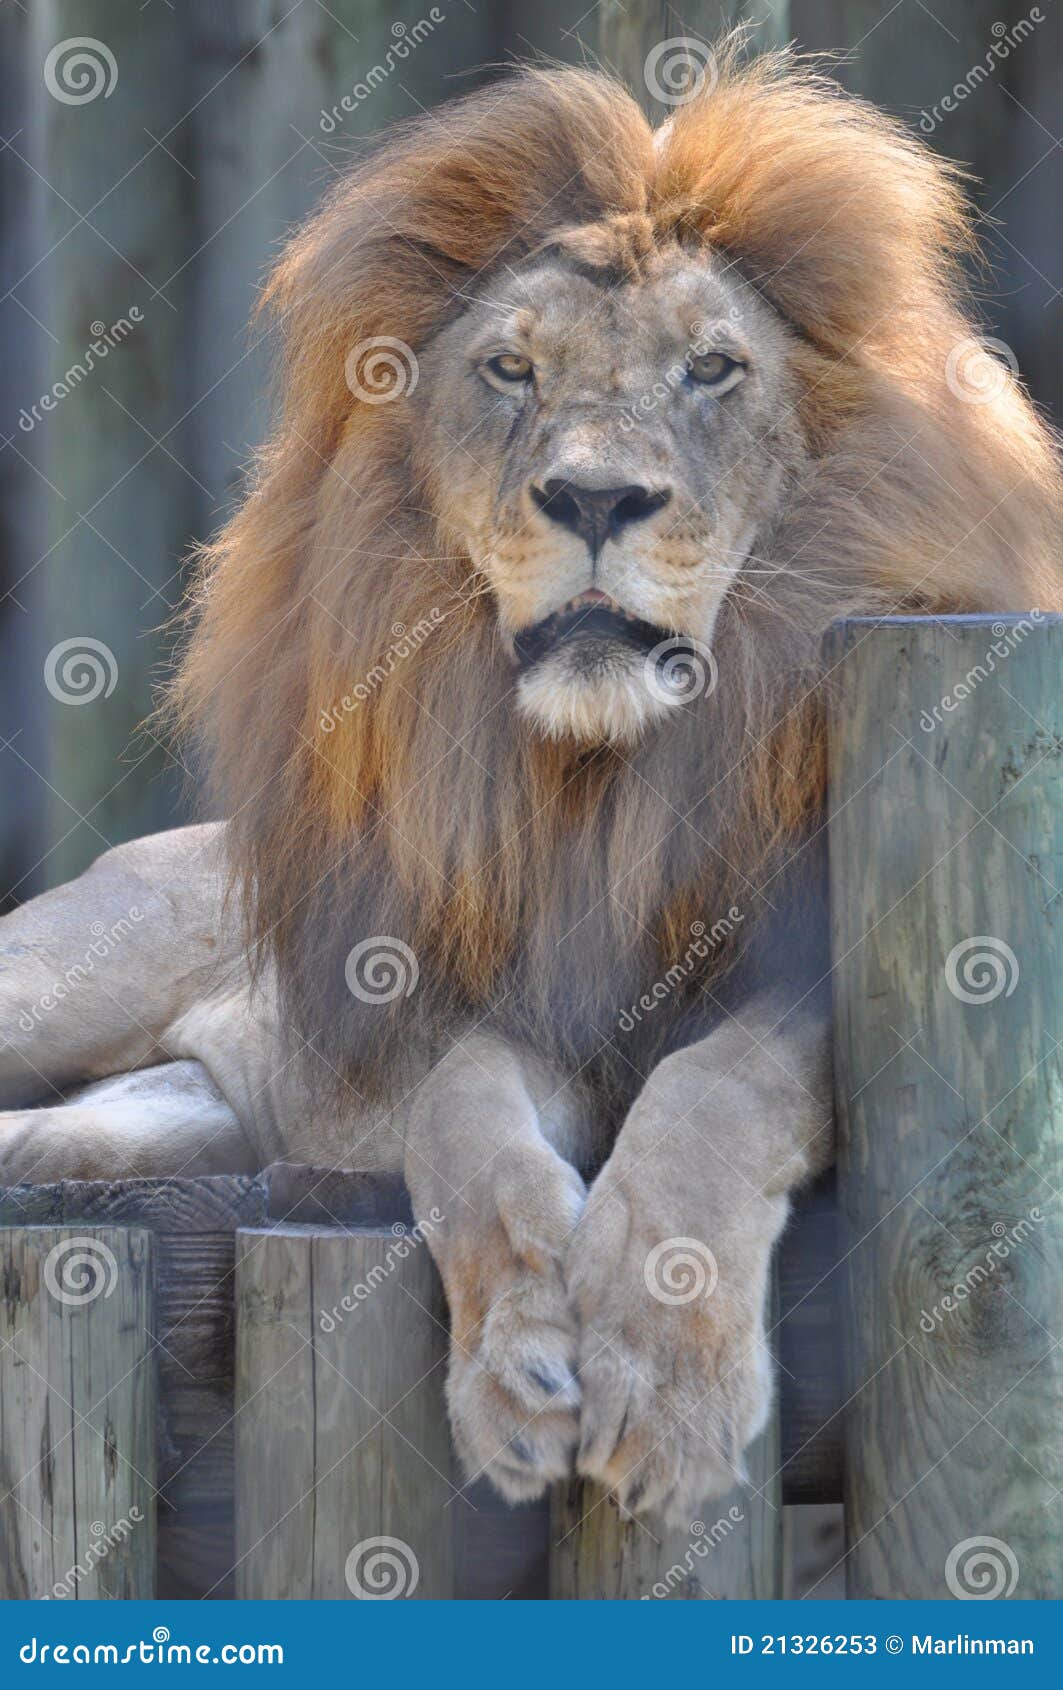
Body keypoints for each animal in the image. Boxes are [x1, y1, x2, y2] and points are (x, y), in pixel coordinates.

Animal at [2, 45, 1061, 1525]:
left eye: (710, 367)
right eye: (511, 368)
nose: (596, 499)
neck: (604, 781)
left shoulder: (806, 977)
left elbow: (712, 1090)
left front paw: (661, 1379)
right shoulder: (492, 995)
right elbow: (461, 1123)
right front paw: (521, 1359)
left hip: (146, 1129)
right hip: (63, 975)